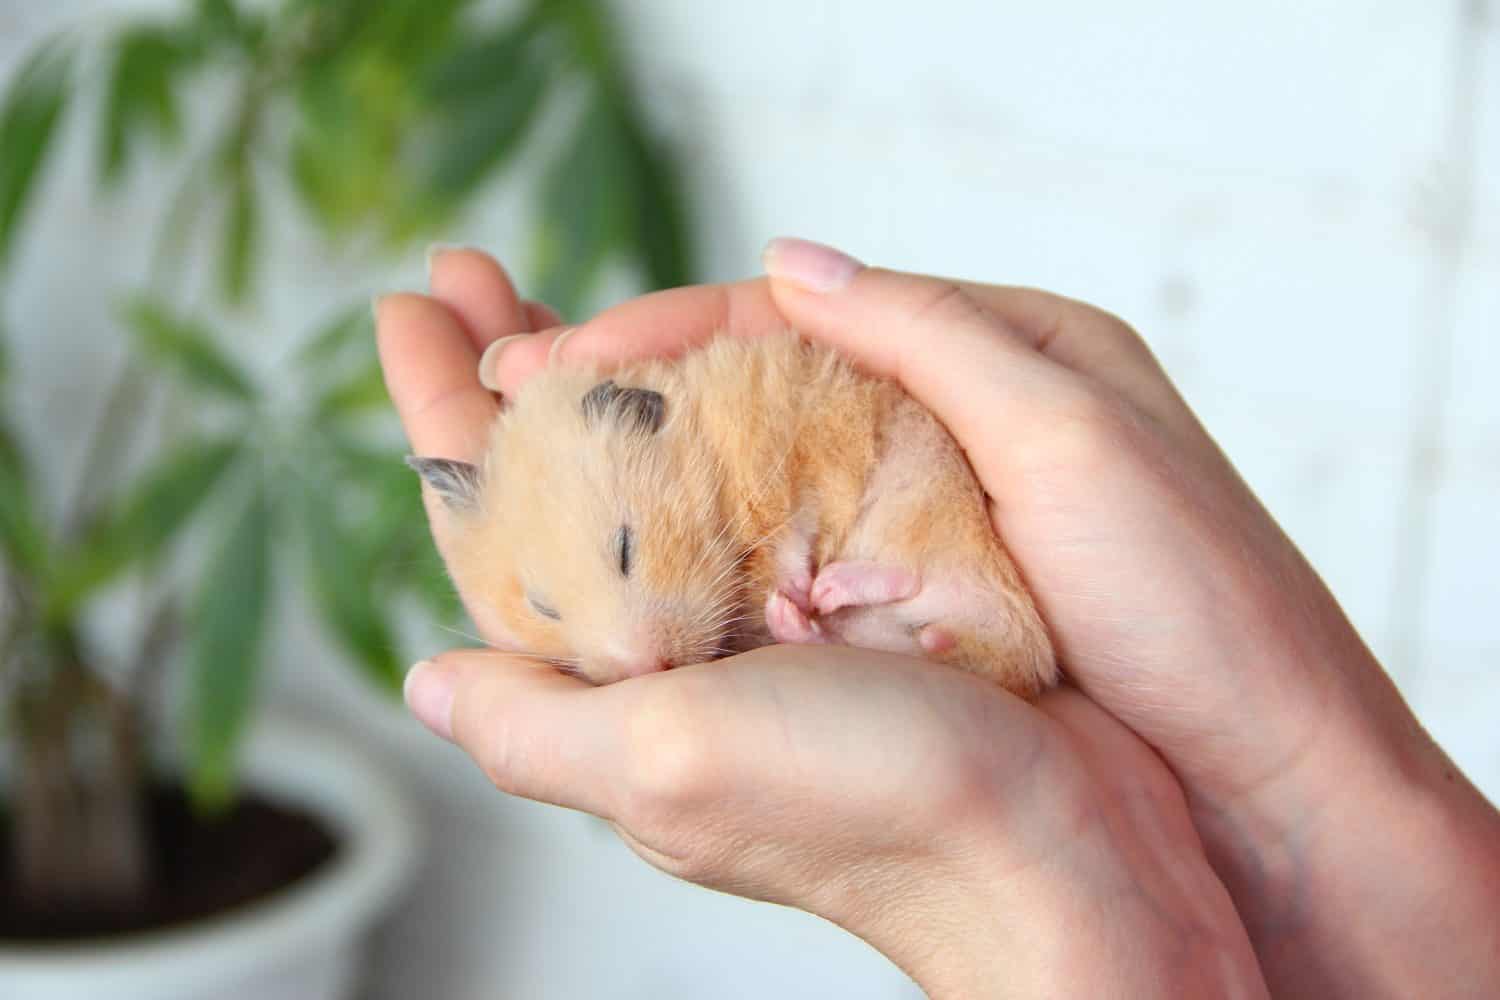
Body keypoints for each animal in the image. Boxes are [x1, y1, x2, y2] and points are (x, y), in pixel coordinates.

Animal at [408, 332, 1057, 698]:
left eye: (626, 549)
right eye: (543, 607)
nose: (649, 668)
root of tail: (1028, 661)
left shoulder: (802, 451)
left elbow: (797, 525)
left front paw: (796, 581)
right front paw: (790, 598)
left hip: (926, 492)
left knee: (910, 573)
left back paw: (824, 589)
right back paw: (803, 615)